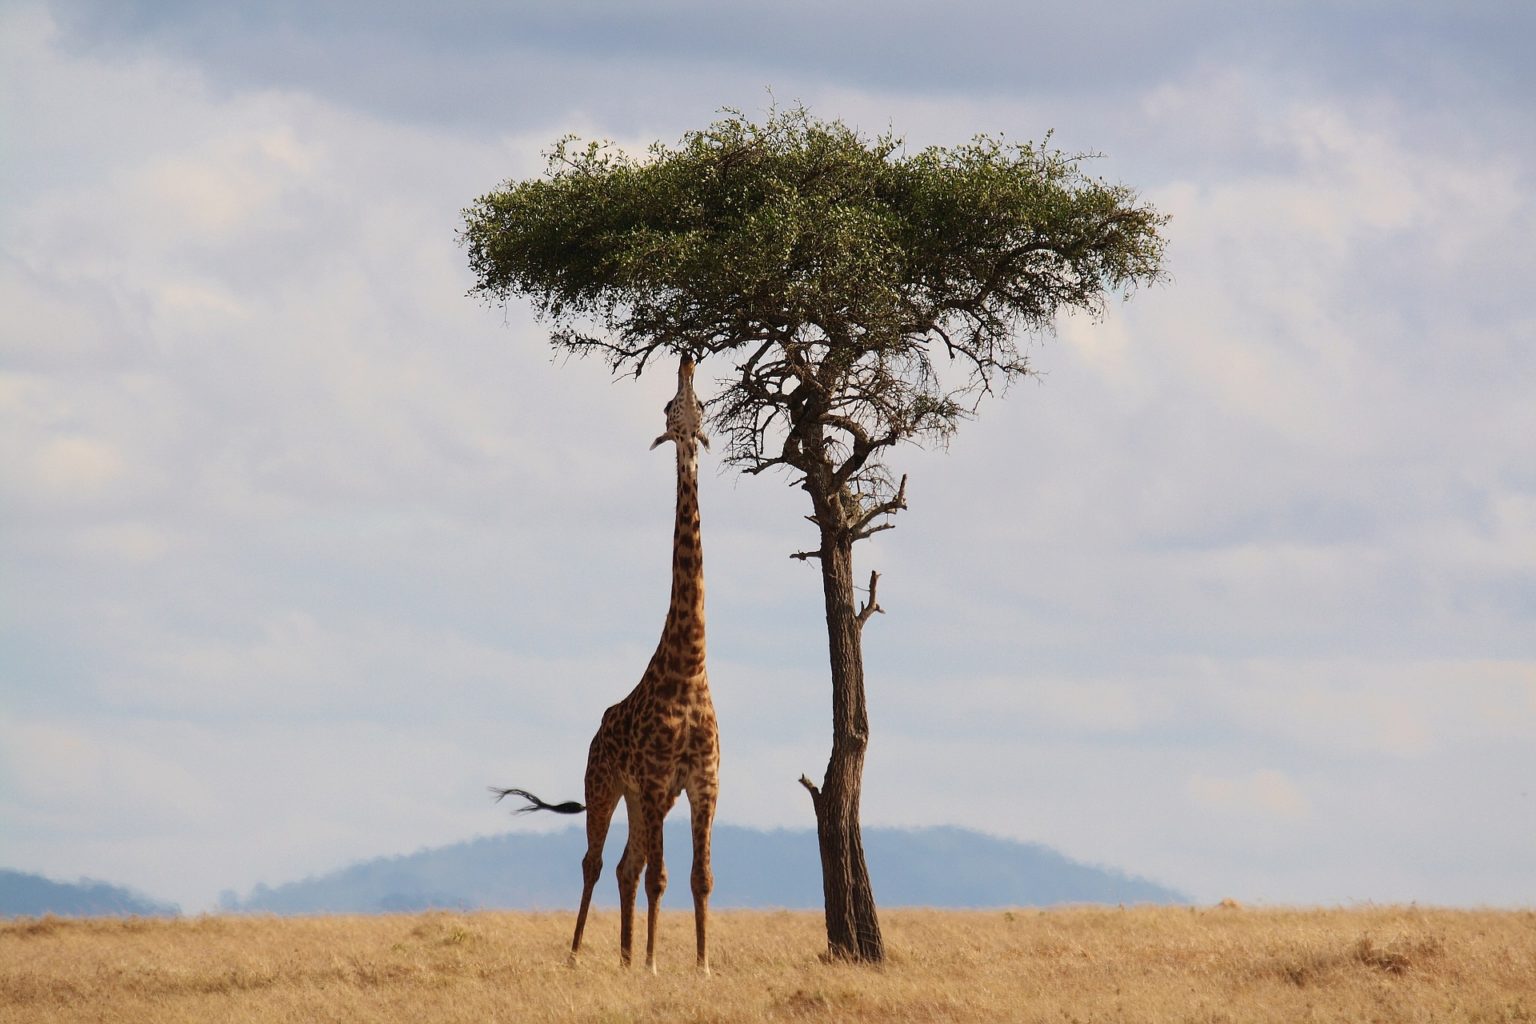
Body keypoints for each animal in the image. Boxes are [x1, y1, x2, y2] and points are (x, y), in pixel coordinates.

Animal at [494, 354, 719, 974]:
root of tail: (596, 731)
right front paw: (655, 964)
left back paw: (622, 958)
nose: (688, 359)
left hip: (640, 800)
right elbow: (663, 877)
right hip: (605, 784)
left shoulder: (702, 783)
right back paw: (579, 955)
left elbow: (700, 877)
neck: (689, 667)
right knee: (597, 863)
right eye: (670, 406)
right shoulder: (659, 778)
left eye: (700, 404)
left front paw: (701, 966)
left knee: (626, 866)